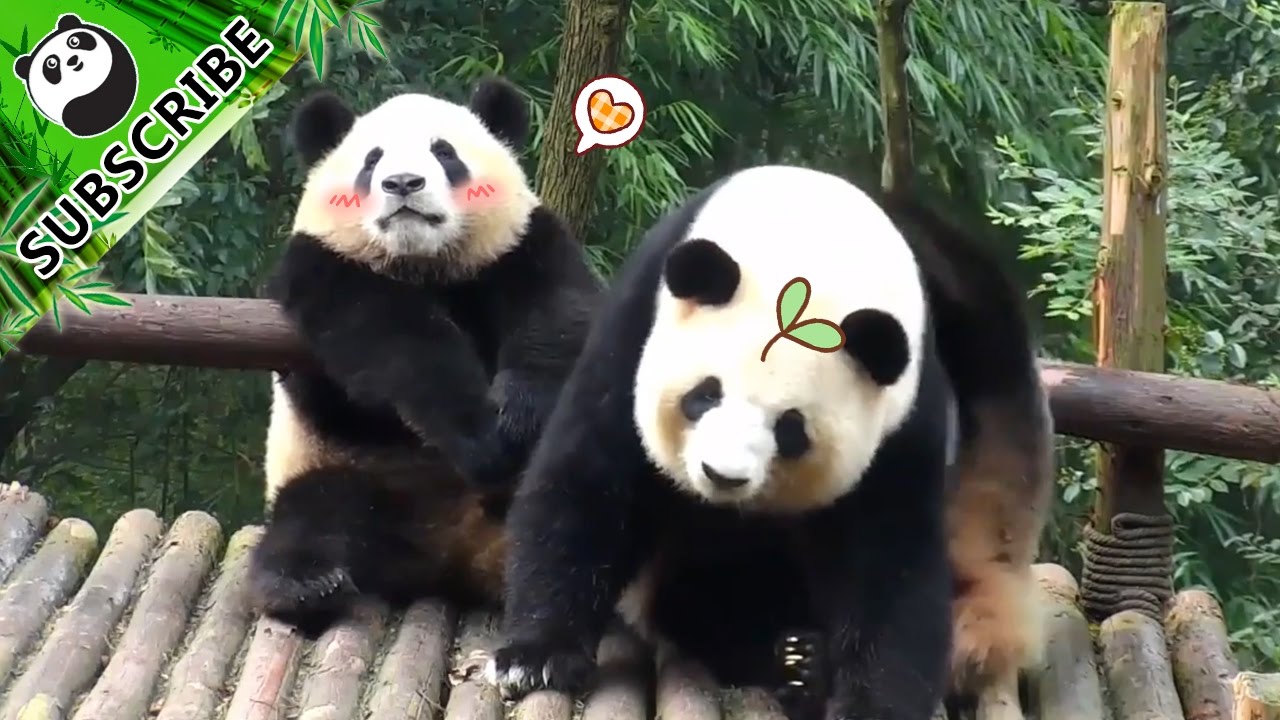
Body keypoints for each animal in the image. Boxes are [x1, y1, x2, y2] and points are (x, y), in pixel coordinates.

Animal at [247, 77, 602, 638]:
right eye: (372, 160)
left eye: (445, 153)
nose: (403, 183)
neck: (425, 263)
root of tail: (459, 553)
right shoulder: (322, 266)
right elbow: (389, 340)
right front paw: (479, 433)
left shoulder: (524, 243)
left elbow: (560, 316)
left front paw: (518, 415)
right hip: (349, 474)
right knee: (315, 514)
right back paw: (305, 586)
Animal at [489, 165, 958, 720]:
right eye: (705, 395)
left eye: (790, 429)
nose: (721, 476)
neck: (811, 240)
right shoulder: (636, 324)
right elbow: (591, 476)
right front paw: (536, 657)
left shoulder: (905, 414)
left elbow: (891, 557)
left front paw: (871, 703)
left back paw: (801, 663)